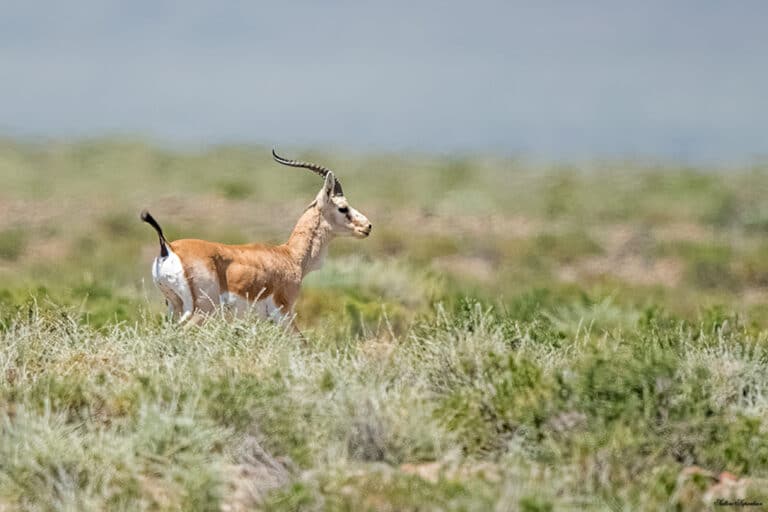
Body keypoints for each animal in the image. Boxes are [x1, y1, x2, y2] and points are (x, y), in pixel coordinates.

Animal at [140, 148, 372, 330]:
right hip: (201, 311)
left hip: (175, 307)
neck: (290, 256)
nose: (368, 227)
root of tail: (168, 247)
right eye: (343, 208)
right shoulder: (284, 312)